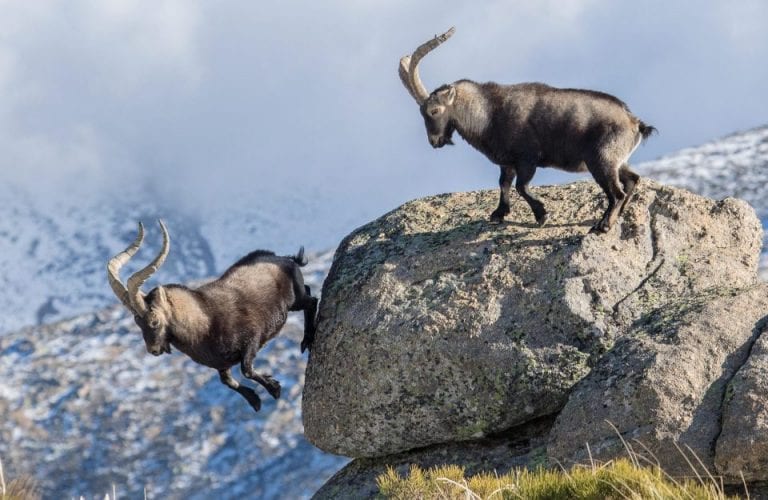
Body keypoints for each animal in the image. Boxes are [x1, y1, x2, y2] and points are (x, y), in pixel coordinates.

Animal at [106, 220, 318, 412]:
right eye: (137, 322)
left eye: (154, 320)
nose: (153, 350)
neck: (204, 320)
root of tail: (283, 258)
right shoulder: (221, 363)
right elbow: (227, 381)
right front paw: (254, 400)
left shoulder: (252, 338)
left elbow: (246, 369)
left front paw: (274, 388)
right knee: (309, 292)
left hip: (293, 300)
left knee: (312, 300)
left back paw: (306, 341)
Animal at [399, 28, 656, 233]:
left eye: (434, 111)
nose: (434, 141)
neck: (488, 112)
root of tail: (634, 122)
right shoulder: (507, 162)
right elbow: (503, 183)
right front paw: (499, 213)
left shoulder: (527, 159)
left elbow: (521, 186)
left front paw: (541, 215)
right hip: (616, 161)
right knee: (632, 180)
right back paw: (616, 216)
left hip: (601, 160)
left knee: (617, 193)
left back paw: (603, 225)